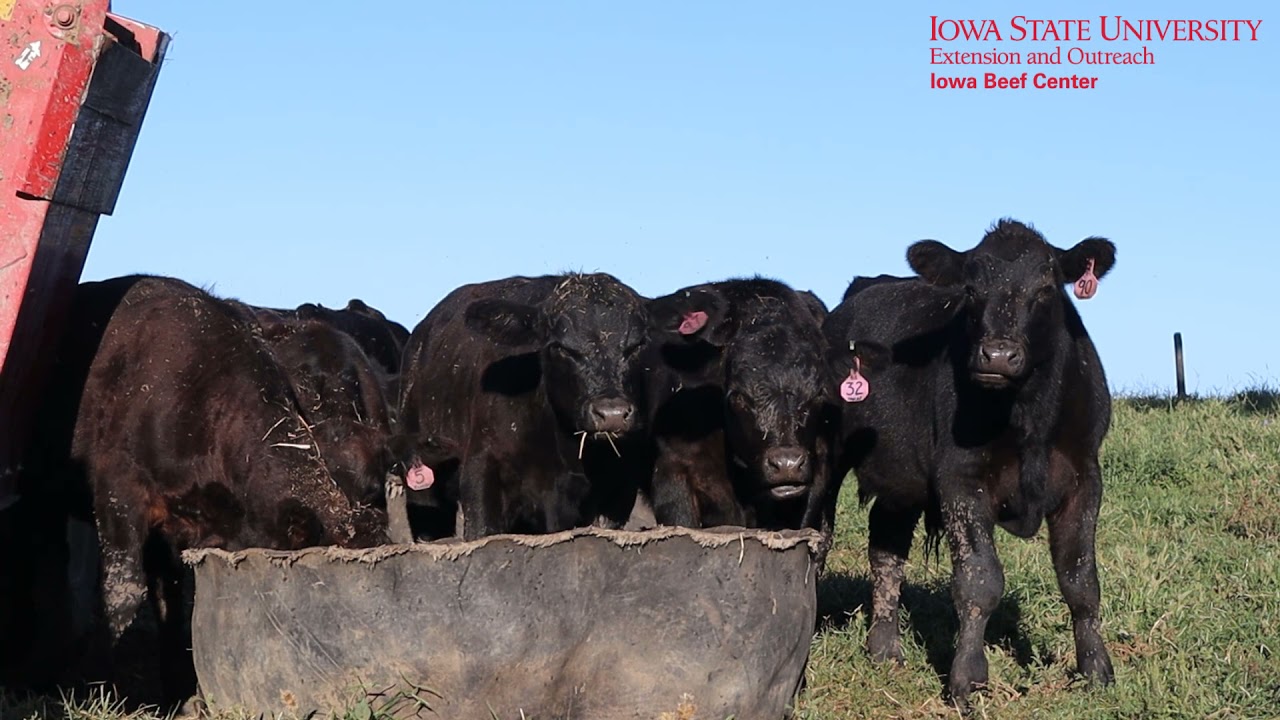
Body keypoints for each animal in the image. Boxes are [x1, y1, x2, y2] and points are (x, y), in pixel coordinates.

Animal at [823, 218, 1116, 707]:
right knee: (820, 535)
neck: (1028, 414)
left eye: (1046, 287)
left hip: (900, 480)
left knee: (886, 550)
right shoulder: (960, 479)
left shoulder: (1083, 476)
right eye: (971, 290)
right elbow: (980, 580)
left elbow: (1080, 580)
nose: (997, 355)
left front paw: (1097, 671)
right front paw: (968, 679)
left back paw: (885, 650)